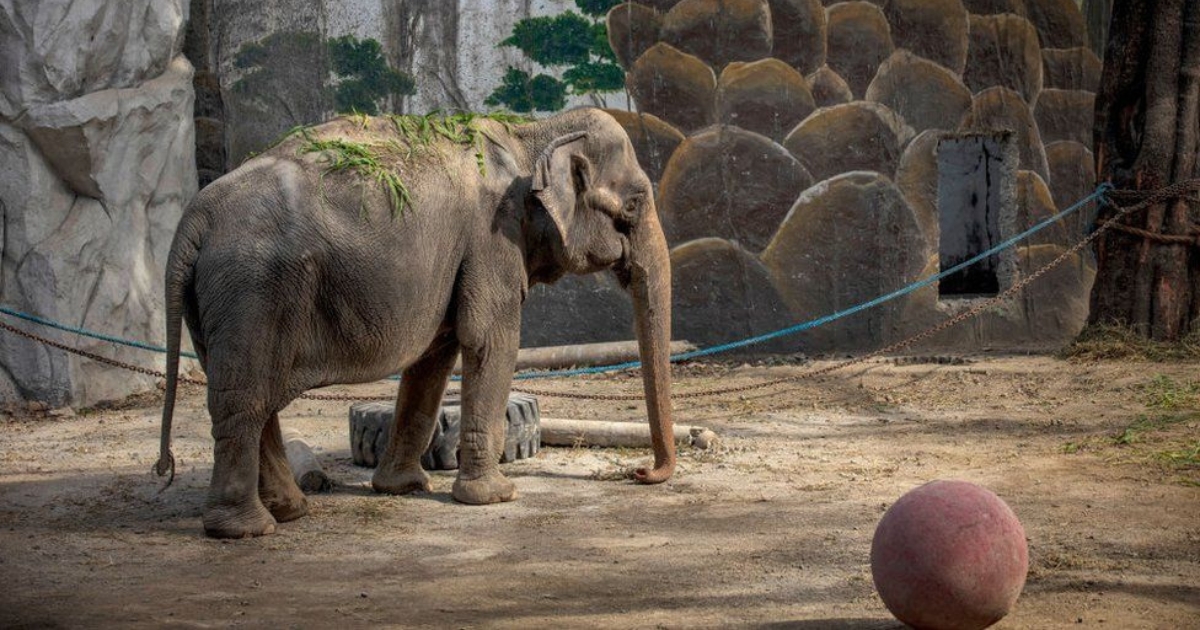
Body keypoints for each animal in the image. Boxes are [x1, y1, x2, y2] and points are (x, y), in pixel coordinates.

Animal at [155, 108, 677, 538]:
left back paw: (290, 511)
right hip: (252, 291)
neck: (530, 132)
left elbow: (434, 358)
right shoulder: (491, 237)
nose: (640, 473)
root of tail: (194, 218)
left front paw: (402, 487)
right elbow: (490, 341)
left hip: (220, 303)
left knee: (249, 396)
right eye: (634, 204)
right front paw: (495, 497)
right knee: (245, 402)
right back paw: (247, 529)